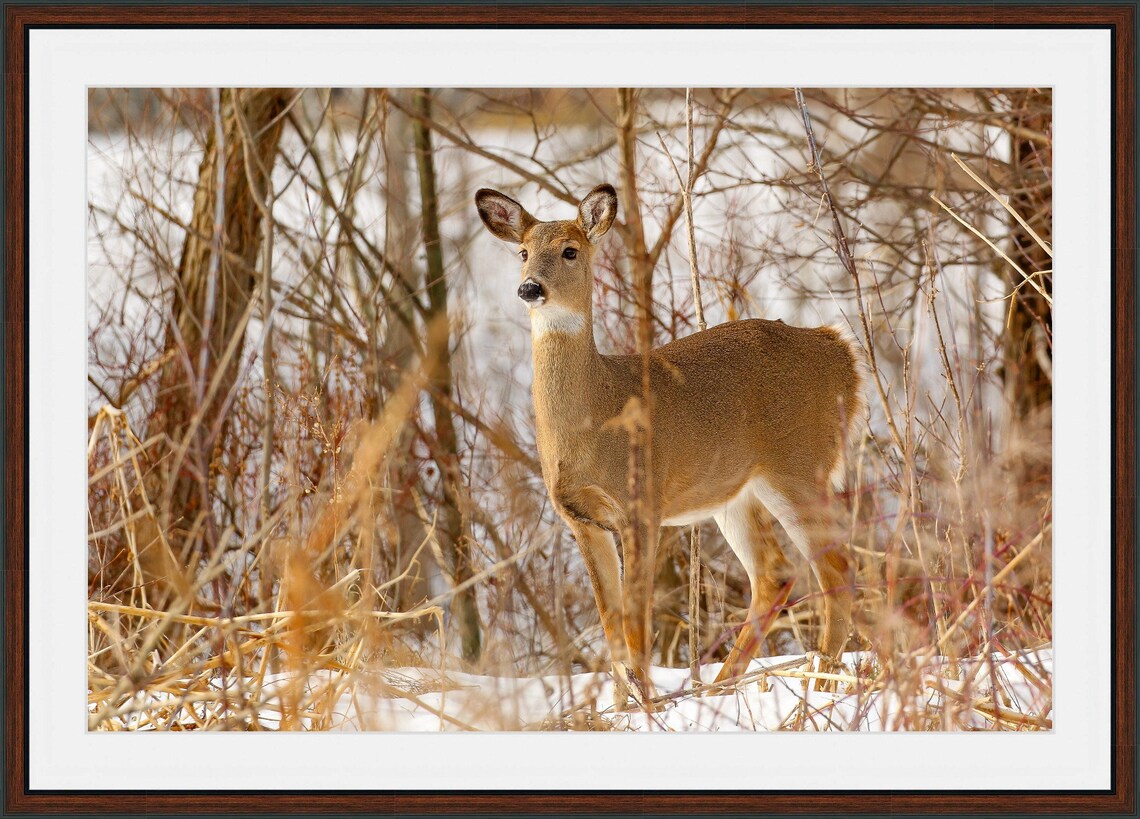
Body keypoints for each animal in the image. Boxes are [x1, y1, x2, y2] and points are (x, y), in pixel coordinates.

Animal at [475, 183, 865, 708]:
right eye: (522, 252)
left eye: (570, 250)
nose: (530, 288)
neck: (597, 415)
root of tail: (841, 352)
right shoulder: (581, 519)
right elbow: (611, 623)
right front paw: (621, 705)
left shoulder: (641, 505)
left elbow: (635, 624)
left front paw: (642, 704)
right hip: (735, 492)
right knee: (775, 573)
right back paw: (722, 687)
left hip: (800, 468)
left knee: (835, 569)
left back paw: (821, 685)